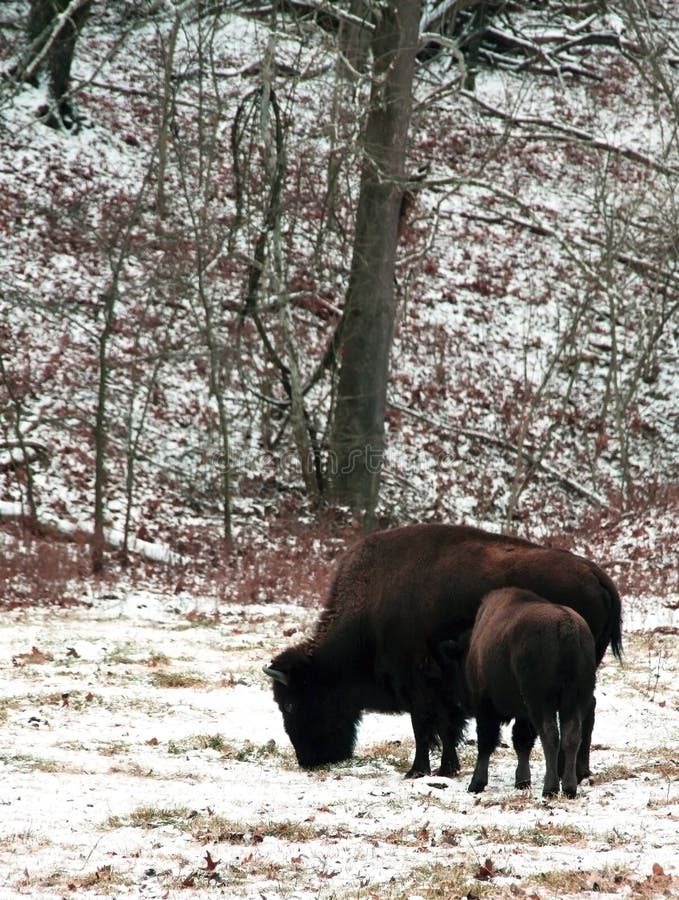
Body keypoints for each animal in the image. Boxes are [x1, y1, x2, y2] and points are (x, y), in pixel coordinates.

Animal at [440, 587, 597, 798]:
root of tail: (566, 626)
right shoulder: (523, 714)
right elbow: (522, 741)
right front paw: (522, 781)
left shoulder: (486, 706)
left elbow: (487, 742)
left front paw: (476, 783)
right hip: (576, 699)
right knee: (571, 735)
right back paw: (569, 788)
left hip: (541, 702)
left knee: (550, 735)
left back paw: (550, 788)